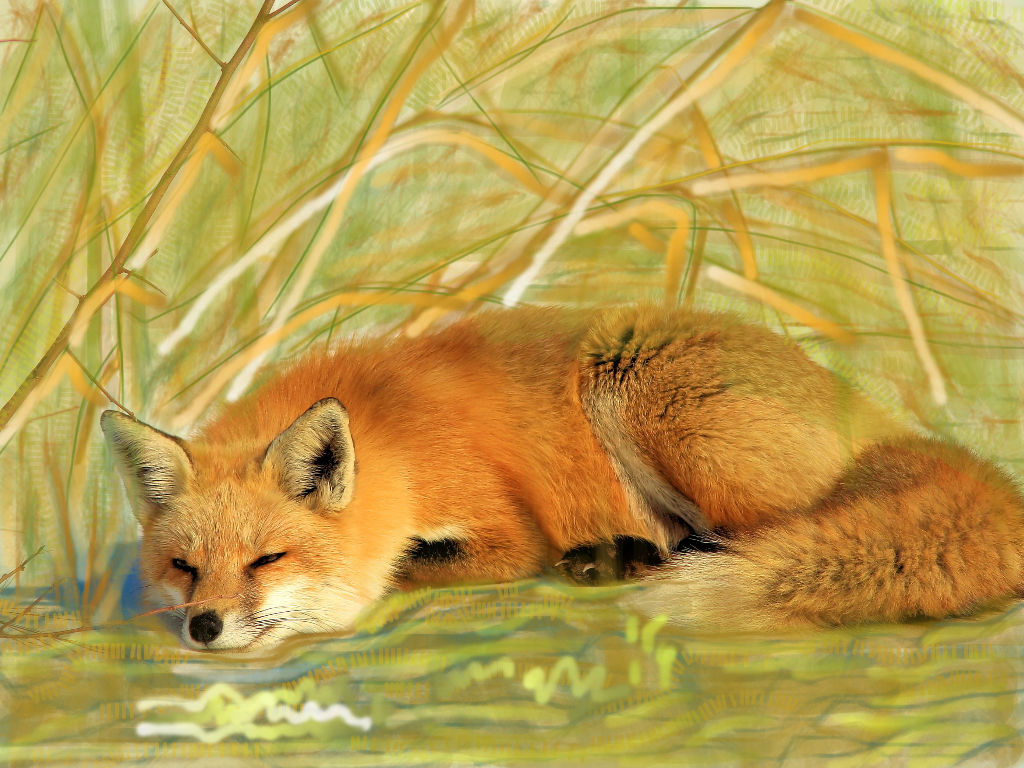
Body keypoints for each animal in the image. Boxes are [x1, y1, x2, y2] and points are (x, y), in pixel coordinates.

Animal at [101, 305, 1024, 651]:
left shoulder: (506, 529)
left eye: (268, 561)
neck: (390, 441)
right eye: (184, 568)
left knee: (784, 528)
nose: (204, 628)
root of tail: (870, 410)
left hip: (636, 389)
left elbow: (406, 572)